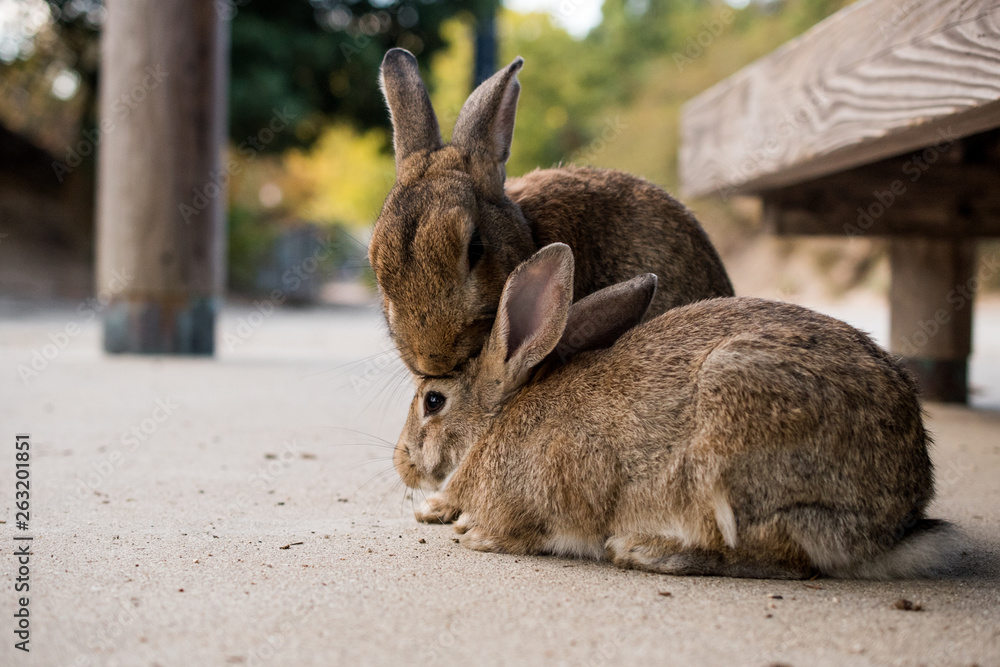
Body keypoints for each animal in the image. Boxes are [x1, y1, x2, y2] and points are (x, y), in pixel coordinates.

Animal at [393, 243, 958, 579]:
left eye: (433, 400)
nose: (402, 463)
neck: (497, 421)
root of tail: (895, 522)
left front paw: (477, 535)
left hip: (728, 448)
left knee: (775, 556)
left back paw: (643, 550)